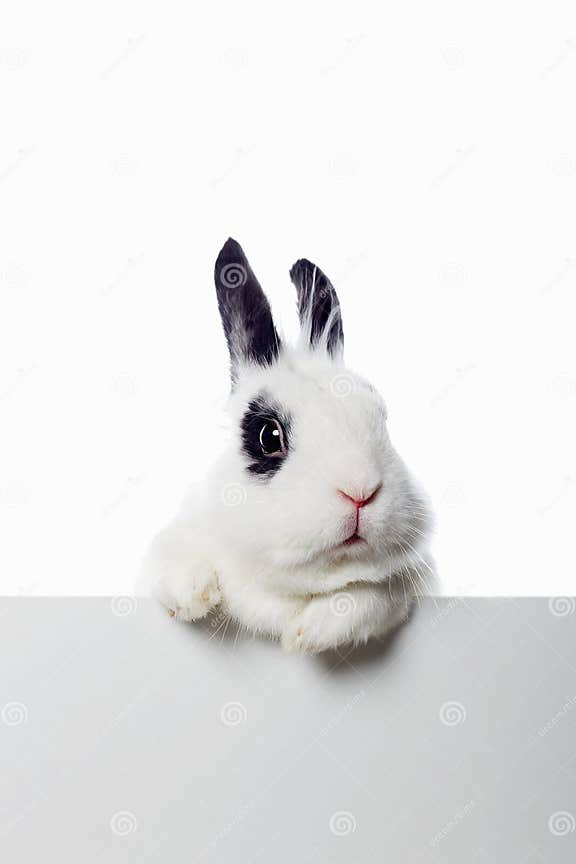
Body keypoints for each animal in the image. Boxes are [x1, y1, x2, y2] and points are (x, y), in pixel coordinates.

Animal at [143, 238, 432, 654]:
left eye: (380, 415)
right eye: (269, 436)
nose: (360, 491)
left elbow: (370, 597)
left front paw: (308, 634)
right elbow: (168, 551)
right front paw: (193, 595)